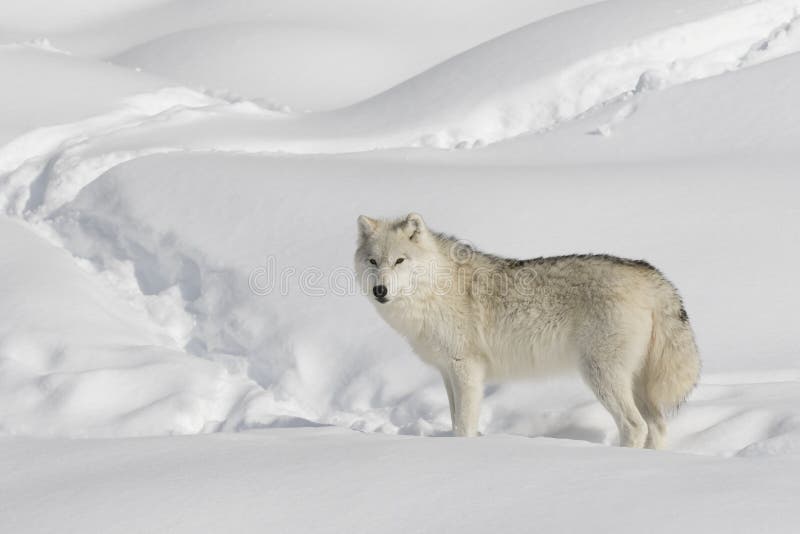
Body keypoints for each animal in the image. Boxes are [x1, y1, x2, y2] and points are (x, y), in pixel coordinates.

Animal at [355, 213, 700, 449]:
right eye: (373, 261)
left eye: (400, 261)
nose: (380, 290)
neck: (435, 291)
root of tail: (650, 274)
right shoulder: (447, 373)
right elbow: (455, 421)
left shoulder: (466, 369)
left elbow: (464, 425)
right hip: (636, 383)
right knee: (657, 426)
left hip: (601, 375)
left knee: (634, 426)